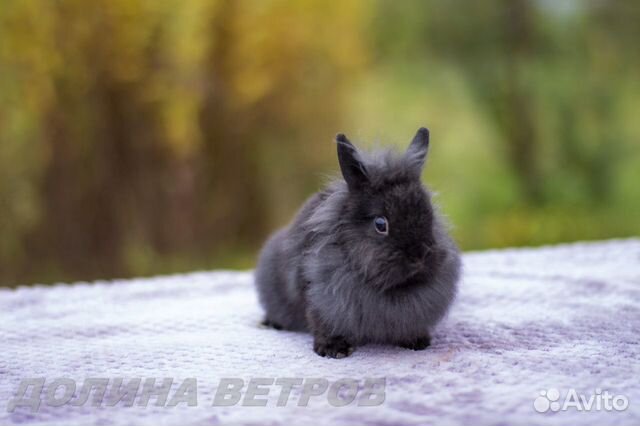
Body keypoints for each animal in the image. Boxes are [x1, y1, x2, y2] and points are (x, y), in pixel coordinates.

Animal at [254, 127, 461, 358]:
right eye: (381, 224)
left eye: (429, 215)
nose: (419, 256)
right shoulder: (319, 300)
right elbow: (321, 323)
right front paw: (334, 350)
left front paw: (418, 342)